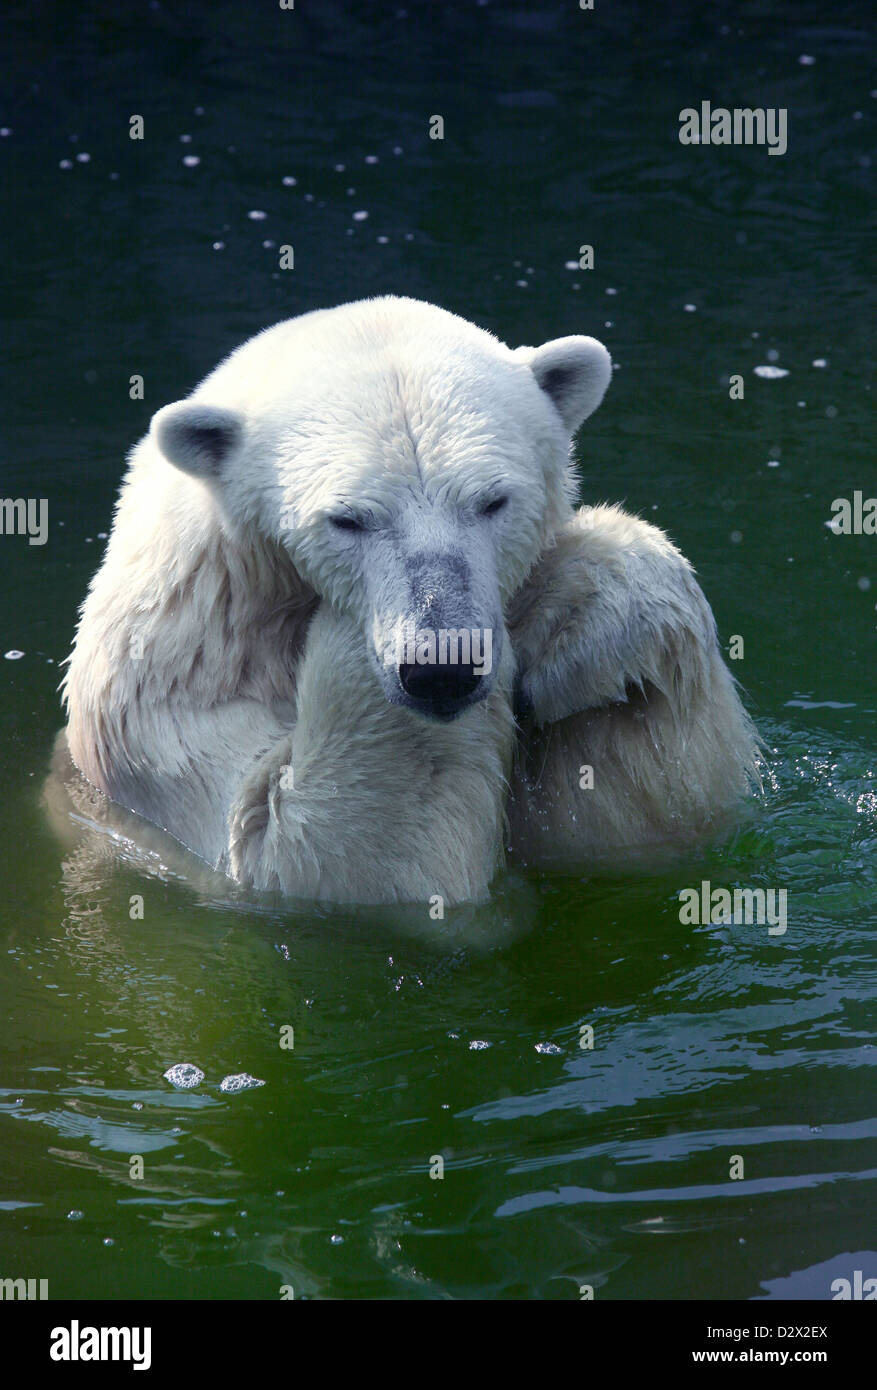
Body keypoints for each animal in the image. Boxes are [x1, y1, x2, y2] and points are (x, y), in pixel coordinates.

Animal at [60, 295, 759, 904]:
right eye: (346, 519)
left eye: (493, 500)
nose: (441, 668)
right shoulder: (166, 698)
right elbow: (316, 848)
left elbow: (635, 822)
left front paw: (589, 626)